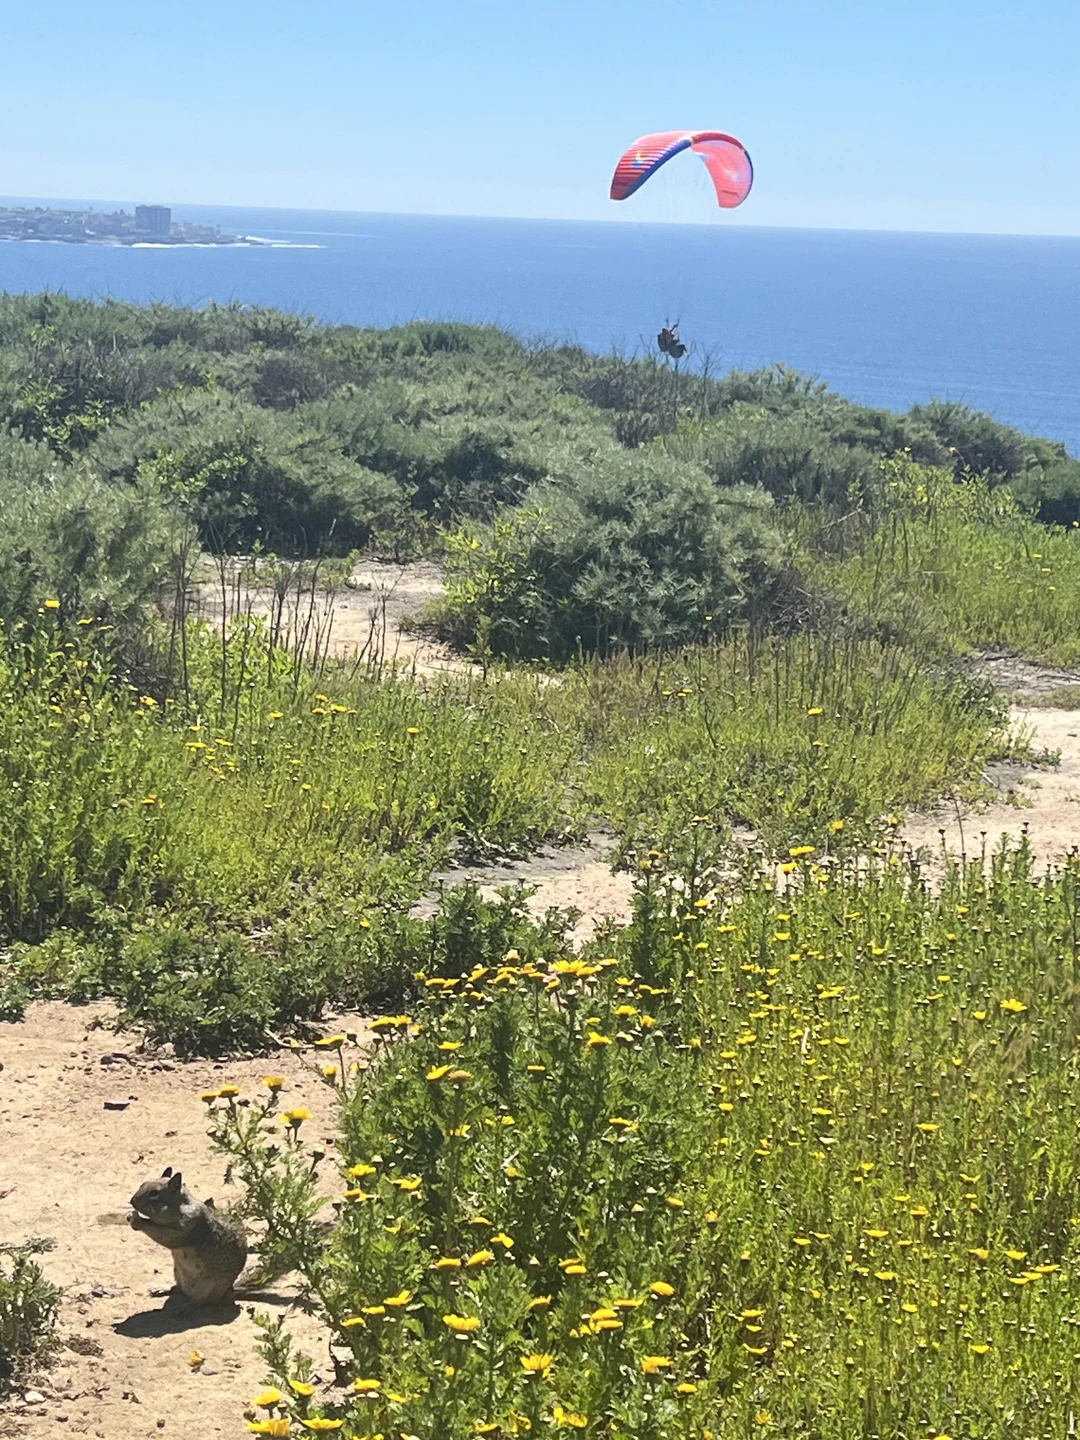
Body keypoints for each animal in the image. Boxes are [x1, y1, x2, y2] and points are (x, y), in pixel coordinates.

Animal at [128, 1168, 248, 1305]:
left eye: (154, 1193)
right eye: (142, 1184)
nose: (131, 1201)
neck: (179, 1207)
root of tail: (230, 1292)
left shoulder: (190, 1224)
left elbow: (169, 1238)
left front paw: (136, 1220)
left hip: (207, 1289)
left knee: (202, 1302)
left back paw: (185, 1305)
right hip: (177, 1273)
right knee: (177, 1288)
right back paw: (160, 1288)